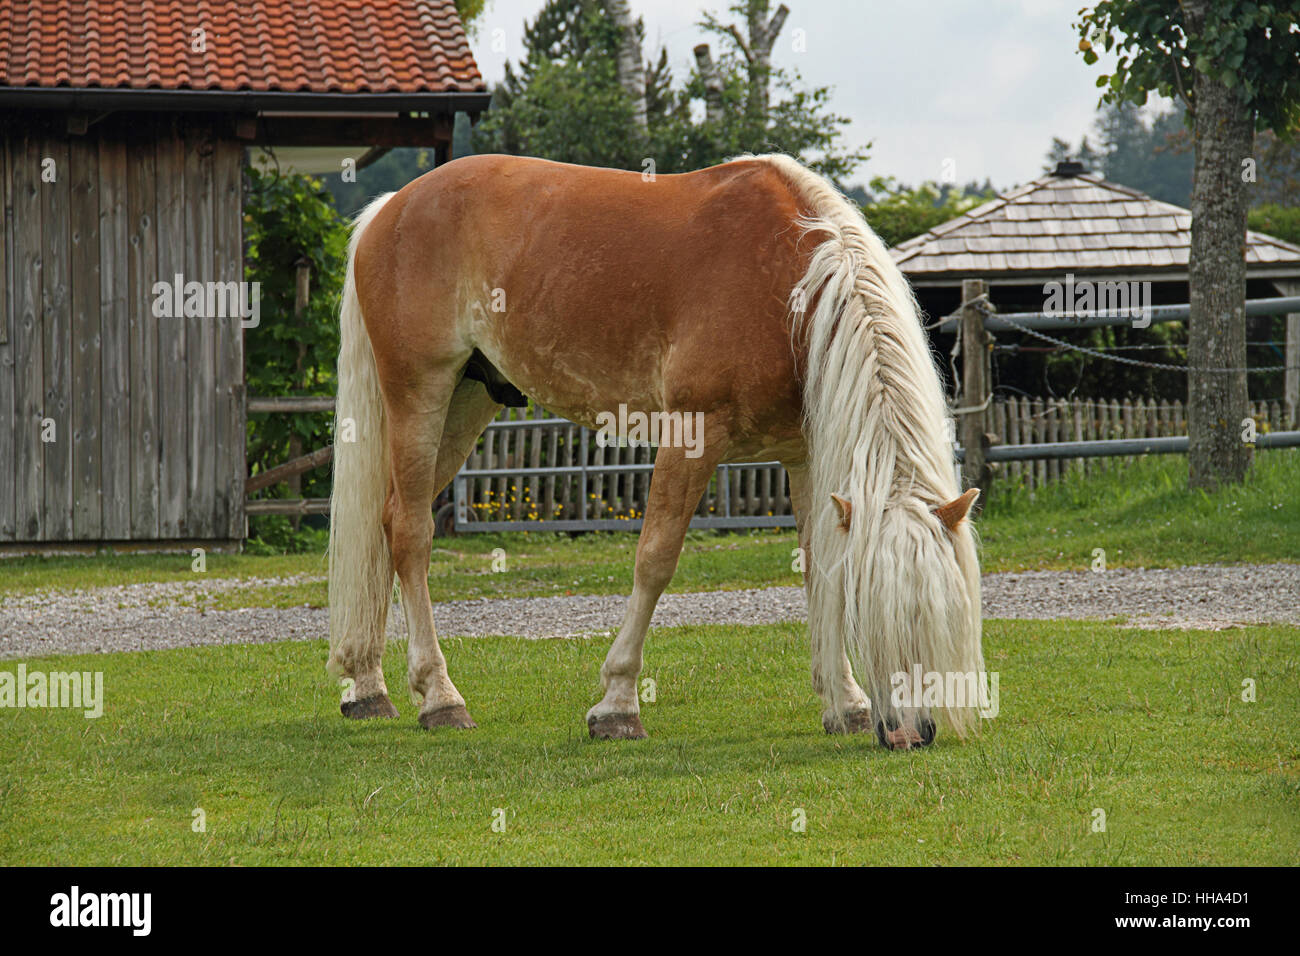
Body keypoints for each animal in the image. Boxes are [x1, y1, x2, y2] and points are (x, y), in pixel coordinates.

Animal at [326, 153, 984, 749]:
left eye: (939, 613)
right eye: (881, 609)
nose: (912, 734)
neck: (790, 281)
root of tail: (393, 205)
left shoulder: (804, 456)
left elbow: (819, 564)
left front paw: (843, 702)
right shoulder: (692, 436)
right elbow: (655, 561)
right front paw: (617, 704)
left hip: (466, 402)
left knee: (385, 523)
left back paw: (368, 685)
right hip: (421, 393)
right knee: (411, 533)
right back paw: (439, 697)